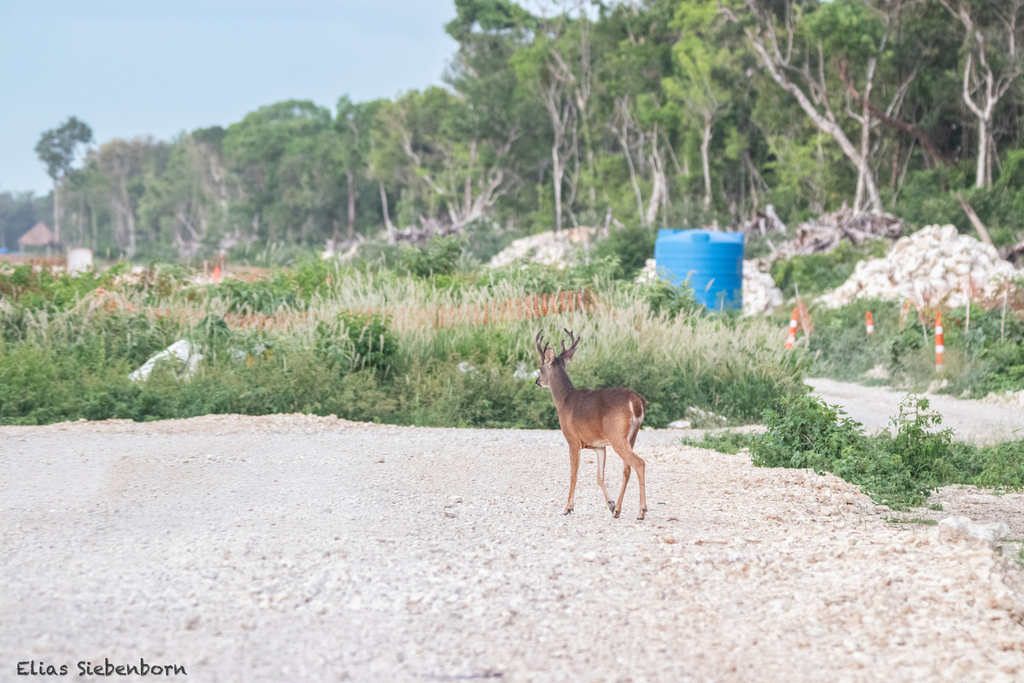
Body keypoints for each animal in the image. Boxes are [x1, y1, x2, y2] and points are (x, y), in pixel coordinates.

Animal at [534, 328, 649, 520]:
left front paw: (568, 508)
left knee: (639, 463)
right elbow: (599, 477)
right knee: (627, 469)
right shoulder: (599, 446)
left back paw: (642, 511)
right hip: (631, 436)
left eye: (540, 367)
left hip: (617, 436)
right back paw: (618, 510)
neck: (564, 399)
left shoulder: (572, 440)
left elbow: (573, 474)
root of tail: (636, 401)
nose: (537, 381)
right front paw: (610, 505)